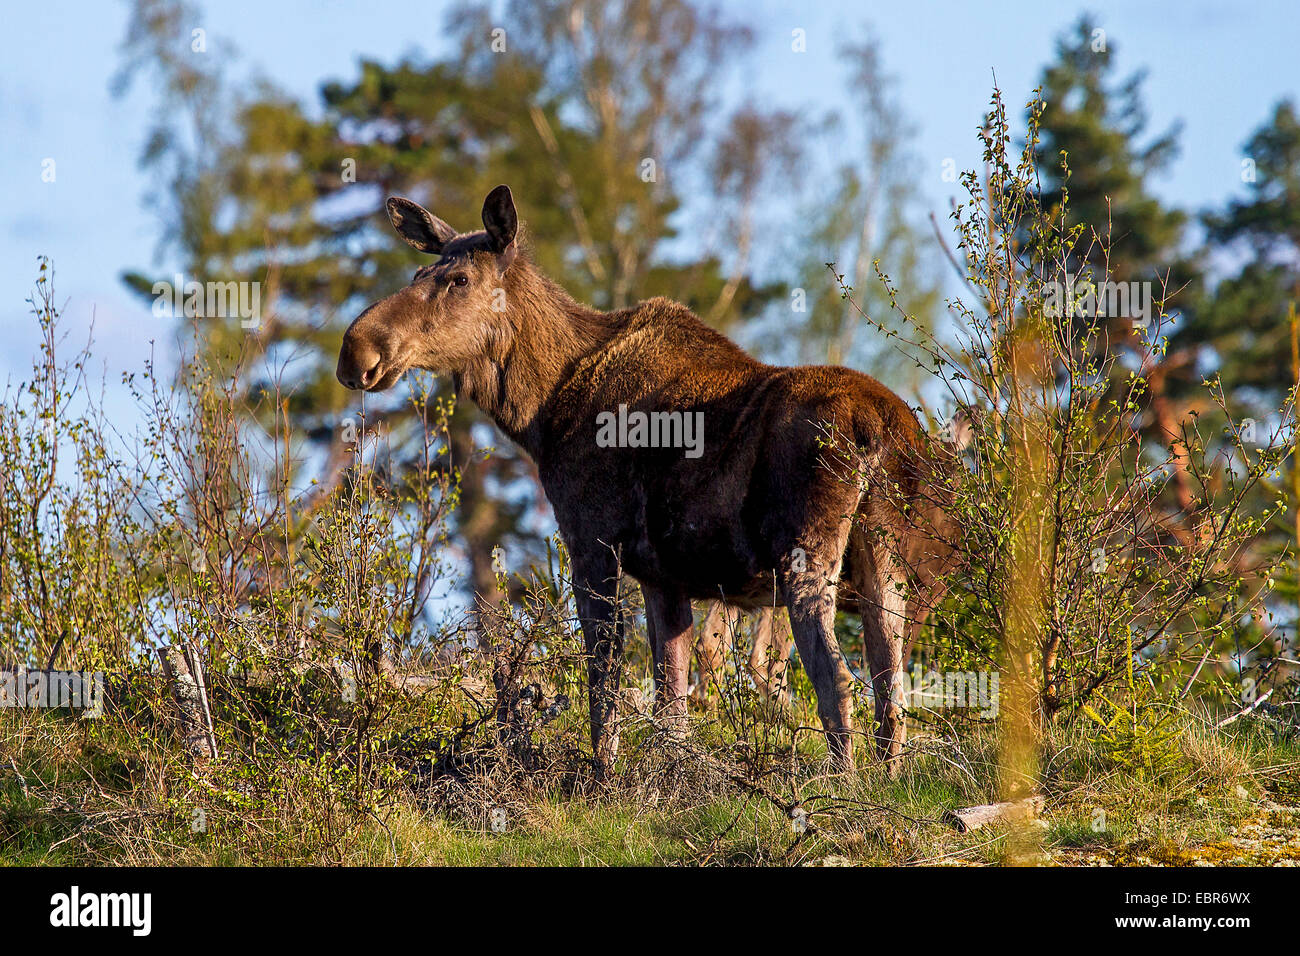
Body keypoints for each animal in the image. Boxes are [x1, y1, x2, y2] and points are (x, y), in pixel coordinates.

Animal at [337, 184, 962, 776]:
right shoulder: (666, 577)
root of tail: (879, 428)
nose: (356, 349)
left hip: (806, 555)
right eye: (419, 274)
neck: (539, 411)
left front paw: (604, 777)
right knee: (890, 680)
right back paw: (886, 778)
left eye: (459, 279)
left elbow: (605, 679)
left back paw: (841, 786)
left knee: (834, 673)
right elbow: (671, 701)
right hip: (885, 563)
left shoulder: (592, 542)